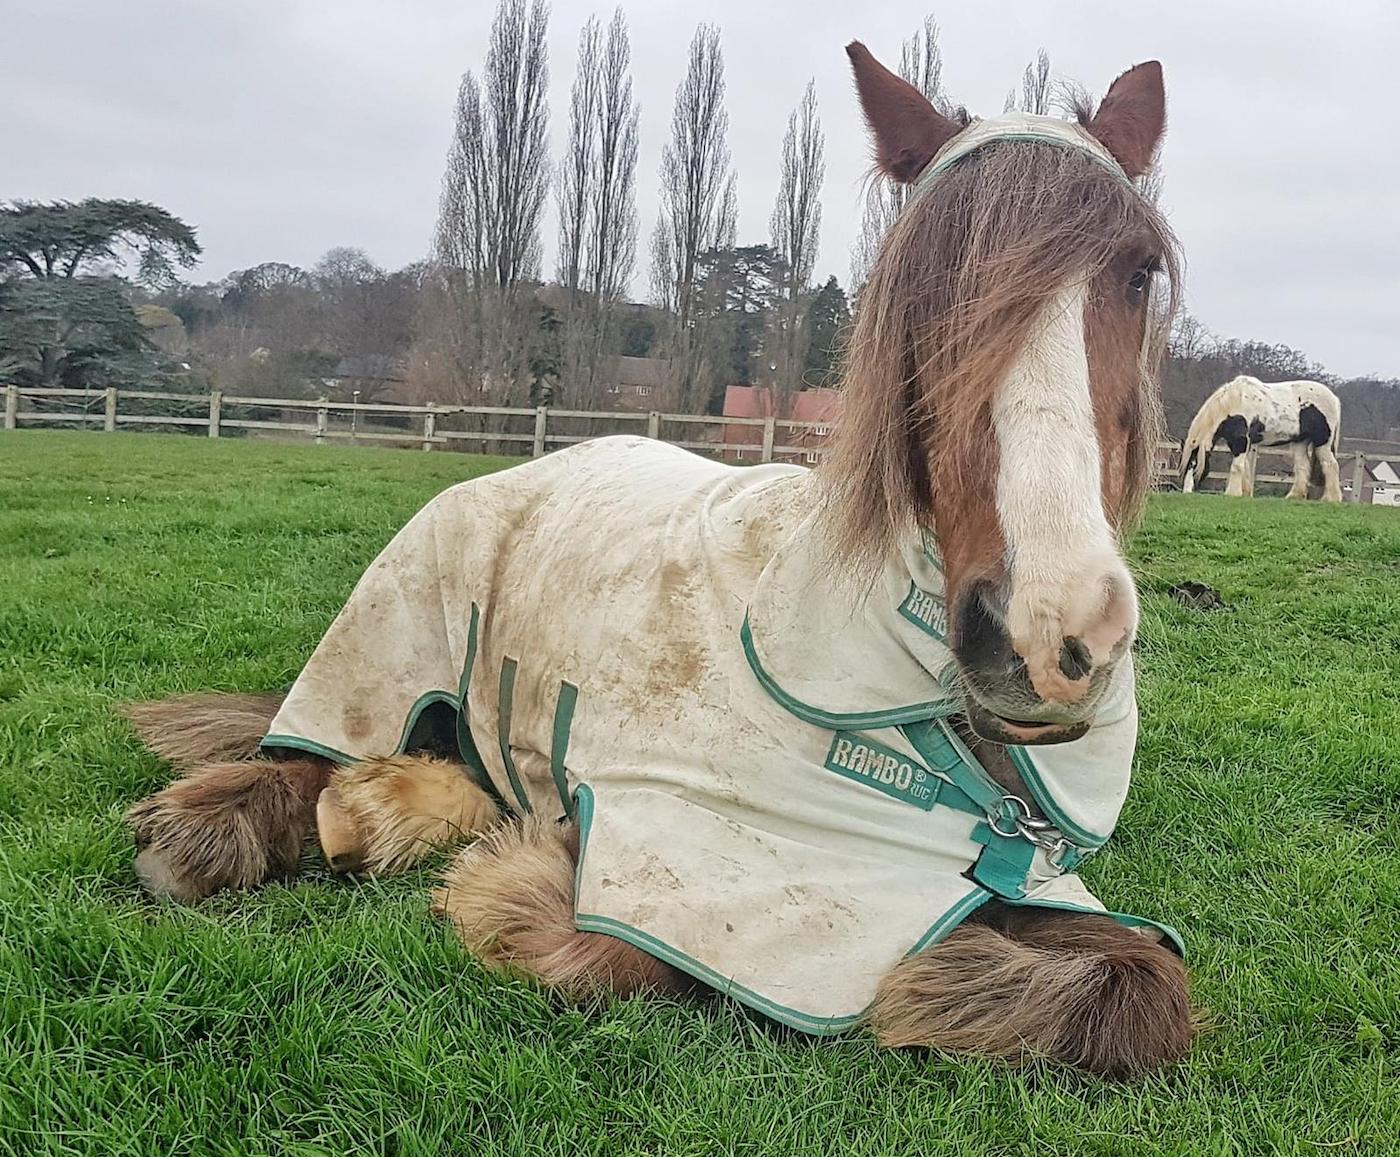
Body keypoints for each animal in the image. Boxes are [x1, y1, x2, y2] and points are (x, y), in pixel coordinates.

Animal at [122, 42, 1194, 1079]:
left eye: (1139, 274)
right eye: (928, 281)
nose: (1048, 633)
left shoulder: (1011, 882)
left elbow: (1144, 988)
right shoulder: (693, 871)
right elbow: (606, 953)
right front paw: (521, 869)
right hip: (381, 648)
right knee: (311, 748)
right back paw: (230, 828)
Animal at [1180, 375, 1343, 501]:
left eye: (1195, 465)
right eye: (1187, 465)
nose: (1187, 492)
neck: (1234, 403)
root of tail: (1334, 398)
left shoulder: (1241, 441)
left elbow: (1236, 467)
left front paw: (1232, 493)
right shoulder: (1242, 443)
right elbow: (1245, 468)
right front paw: (1245, 494)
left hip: (1323, 442)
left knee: (1330, 465)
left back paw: (1331, 499)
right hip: (1300, 441)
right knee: (1302, 467)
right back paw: (1294, 496)